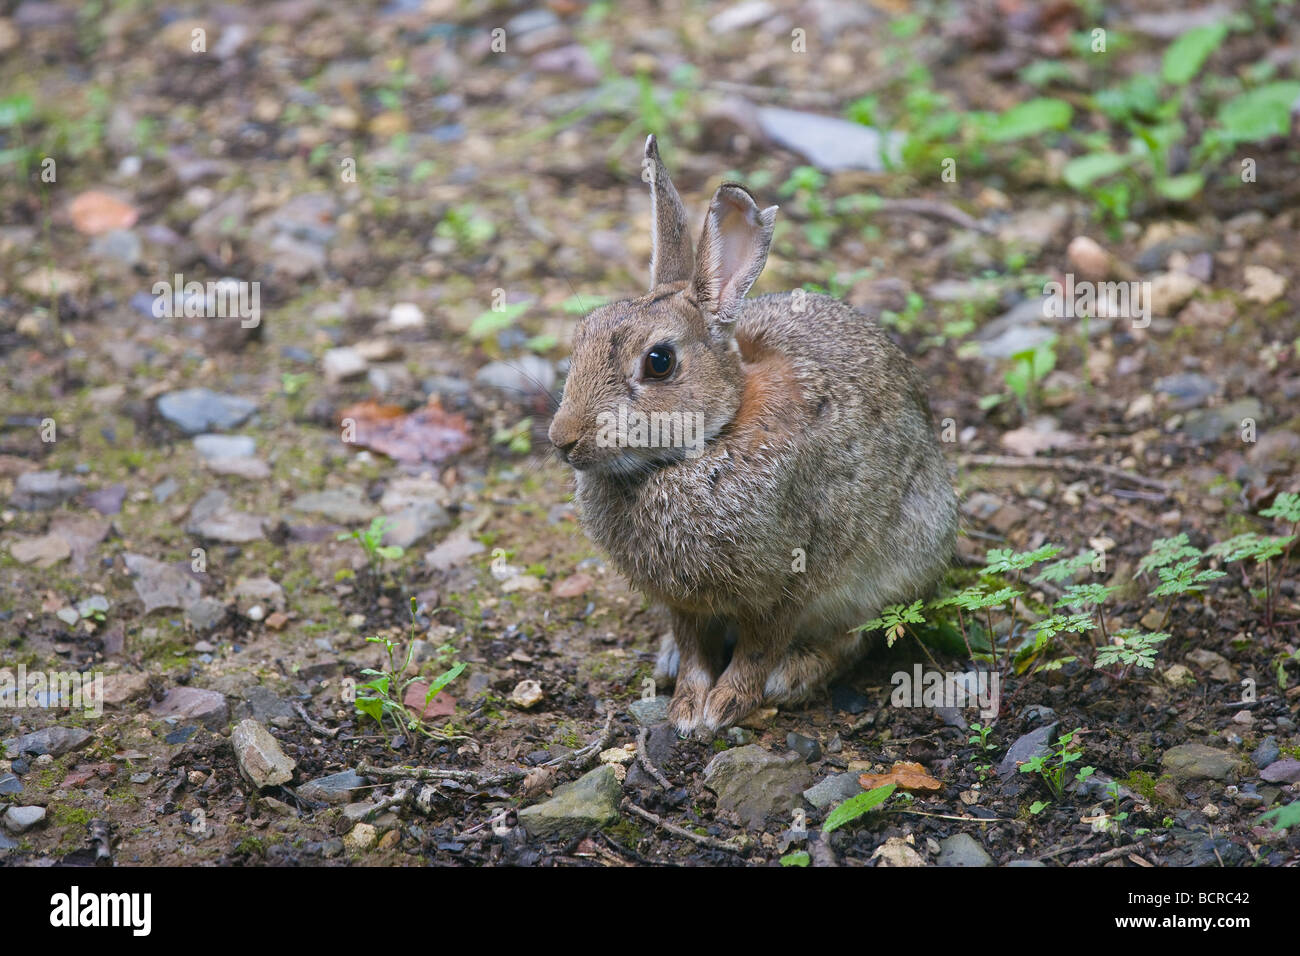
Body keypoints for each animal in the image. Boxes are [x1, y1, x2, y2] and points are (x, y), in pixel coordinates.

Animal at [548, 135, 958, 734]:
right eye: (583, 336)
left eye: (659, 362)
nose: (563, 438)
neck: (702, 446)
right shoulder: (683, 603)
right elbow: (694, 647)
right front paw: (687, 705)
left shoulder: (788, 585)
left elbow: (760, 648)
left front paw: (725, 706)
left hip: (898, 561)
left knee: (857, 636)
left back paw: (795, 676)